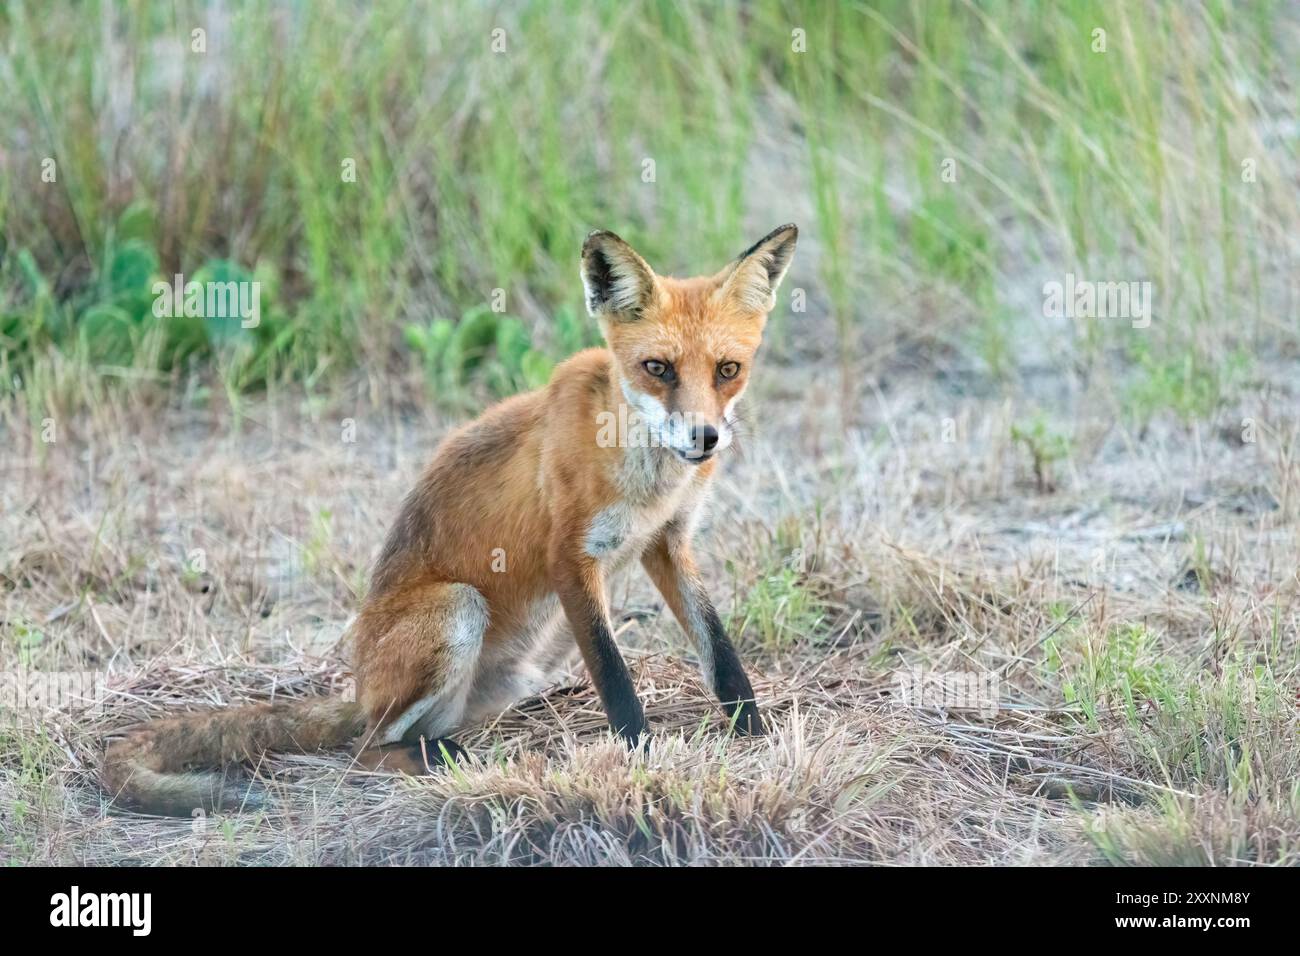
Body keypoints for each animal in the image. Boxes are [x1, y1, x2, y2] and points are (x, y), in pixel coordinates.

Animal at [102, 224, 799, 815]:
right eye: (658, 368)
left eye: (728, 371)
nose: (706, 439)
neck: (649, 479)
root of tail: (360, 687)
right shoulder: (570, 557)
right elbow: (614, 676)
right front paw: (643, 758)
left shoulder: (667, 543)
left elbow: (720, 651)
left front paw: (756, 733)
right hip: (459, 608)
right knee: (363, 747)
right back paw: (439, 760)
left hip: (521, 668)